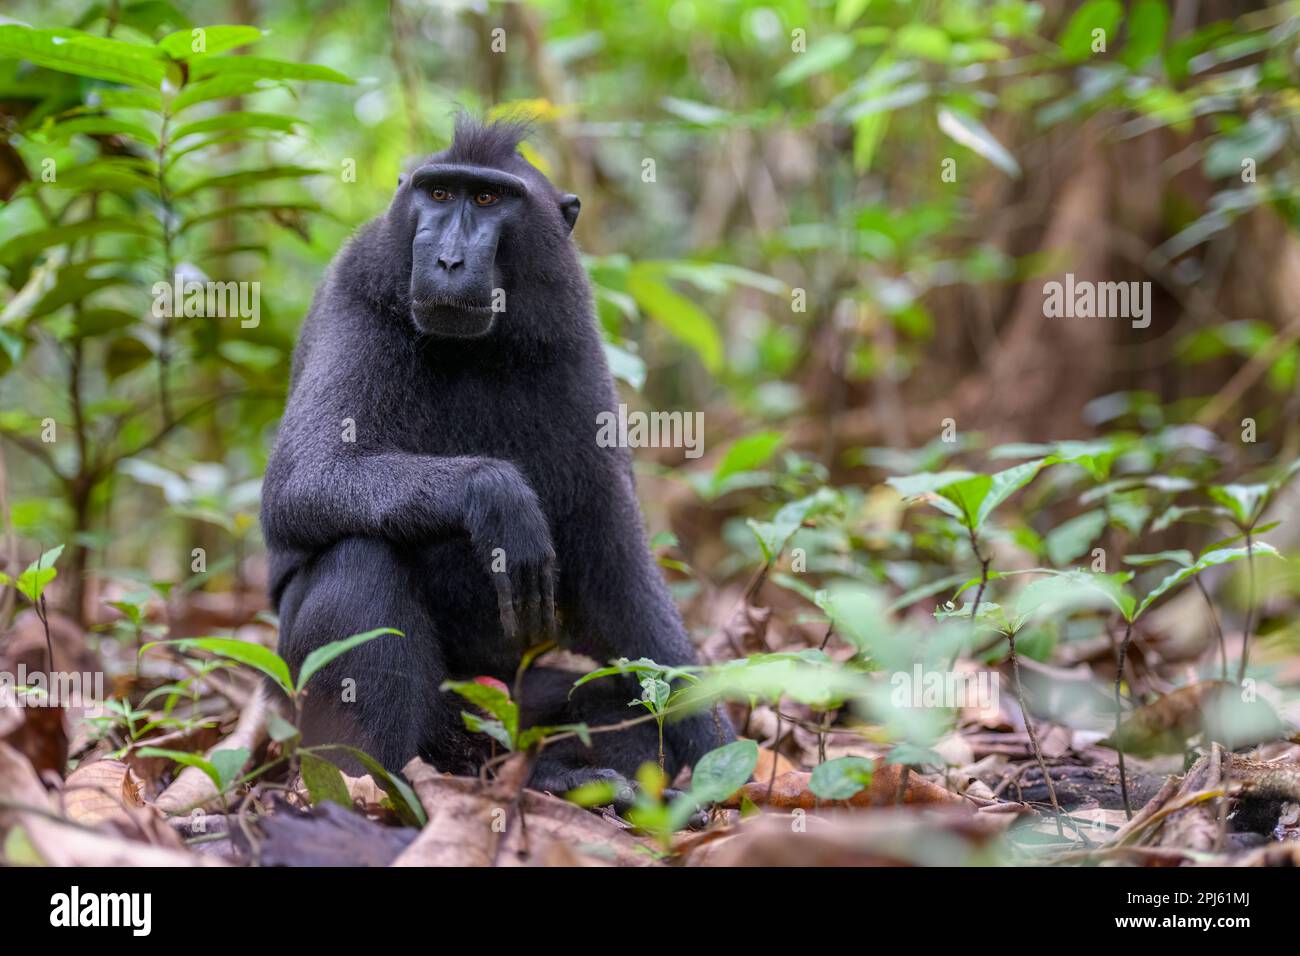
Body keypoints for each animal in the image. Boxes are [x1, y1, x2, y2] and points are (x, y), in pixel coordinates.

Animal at [260, 117, 733, 800]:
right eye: (437, 194)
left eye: (488, 199)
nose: (448, 260)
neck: (474, 350)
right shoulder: (357, 297)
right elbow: (302, 479)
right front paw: (495, 494)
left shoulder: (572, 340)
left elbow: (617, 578)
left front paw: (726, 756)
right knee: (359, 560)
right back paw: (373, 792)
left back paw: (573, 779)